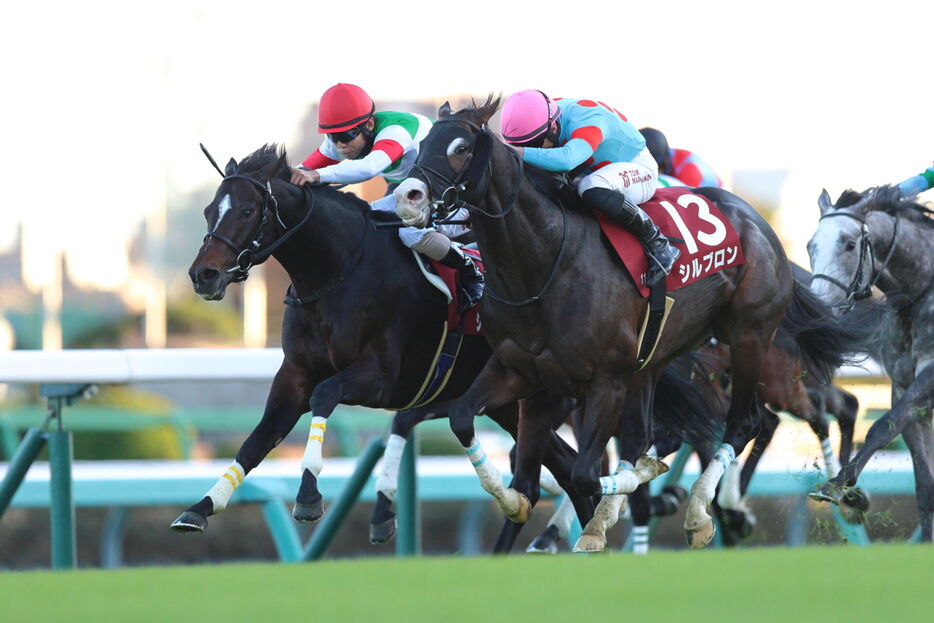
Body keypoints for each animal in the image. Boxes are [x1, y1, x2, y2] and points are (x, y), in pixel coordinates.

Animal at [170, 144, 590, 552]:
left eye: (246, 210)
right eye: (209, 210)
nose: (203, 275)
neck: (336, 274)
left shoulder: (382, 378)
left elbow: (326, 396)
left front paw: (309, 495)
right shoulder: (295, 376)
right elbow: (257, 439)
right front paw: (200, 507)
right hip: (506, 403)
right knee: (566, 470)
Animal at [395, 97, 872, 548]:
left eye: (460, 148)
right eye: (425, 141)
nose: (408, 196)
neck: (543, 265)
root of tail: (755, 219)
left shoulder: (605, 380)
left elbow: (585, 473)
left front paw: (602, 518)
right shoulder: (524, 374)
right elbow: (467, 423)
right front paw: (520, 502)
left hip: (750, 336)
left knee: (748, 423)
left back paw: (702, 511)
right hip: (654, 359)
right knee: (649, 434)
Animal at [807, 184, 934, 541]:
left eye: (850, 244)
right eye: (810, 246)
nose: (817, 308)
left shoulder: (928, 378)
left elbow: (881, 427)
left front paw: (839, 484)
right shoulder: (903, 386)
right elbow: (925, 485)